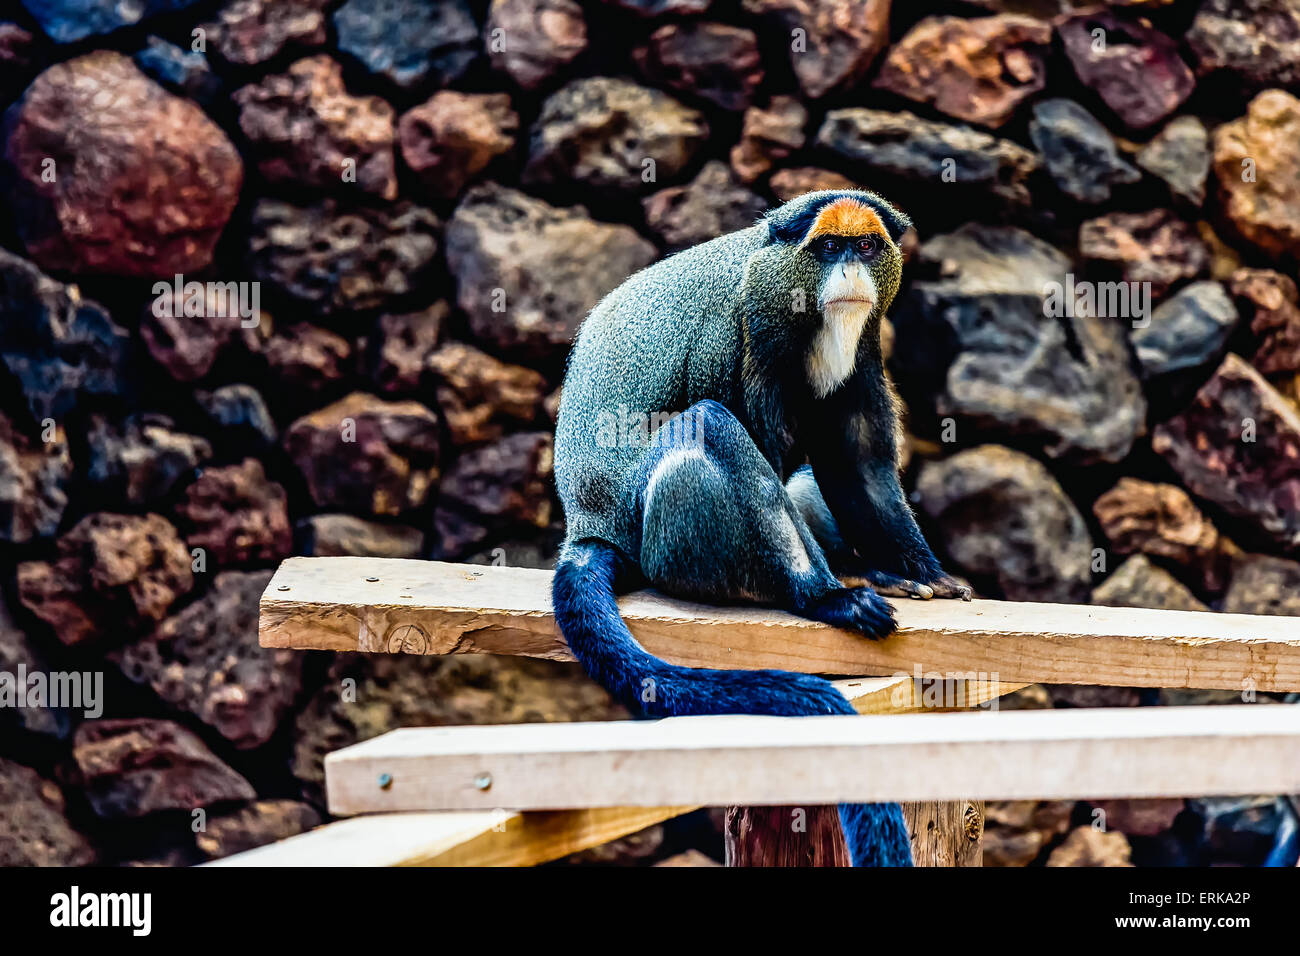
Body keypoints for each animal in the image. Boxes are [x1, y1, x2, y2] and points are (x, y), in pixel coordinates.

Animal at [551, 189, 971, 867]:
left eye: (866, 246)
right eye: (827, 248)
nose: (849, 271)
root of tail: (589, 531)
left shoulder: (864, 346)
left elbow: (858, 463)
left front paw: (917, 571)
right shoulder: (745, 331)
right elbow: (758, 450)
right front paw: (840, 592)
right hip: (662, 536)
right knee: (710, 426)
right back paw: (821, 590)